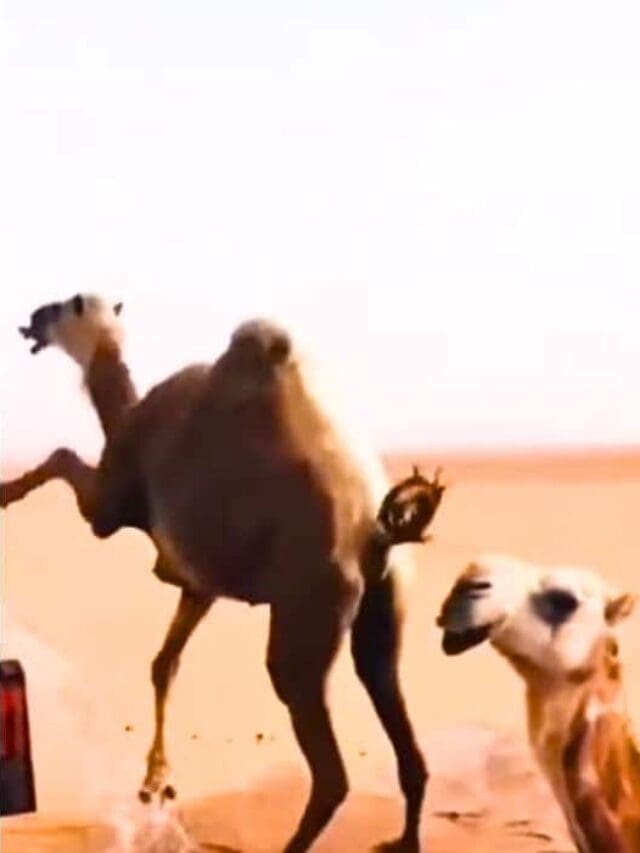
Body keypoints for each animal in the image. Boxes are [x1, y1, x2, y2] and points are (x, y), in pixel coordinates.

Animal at [2, 293, 445, 852]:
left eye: (64, 305)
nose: (32, 319)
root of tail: (378, 532)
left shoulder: (110, 505)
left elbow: (64, 460)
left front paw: (3, 493)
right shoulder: (199, 583)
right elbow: (163, 664)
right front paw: (155, 783)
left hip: (310, 608)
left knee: (327, 764)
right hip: (386, 605)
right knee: (391, 702)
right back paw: (403, 840)